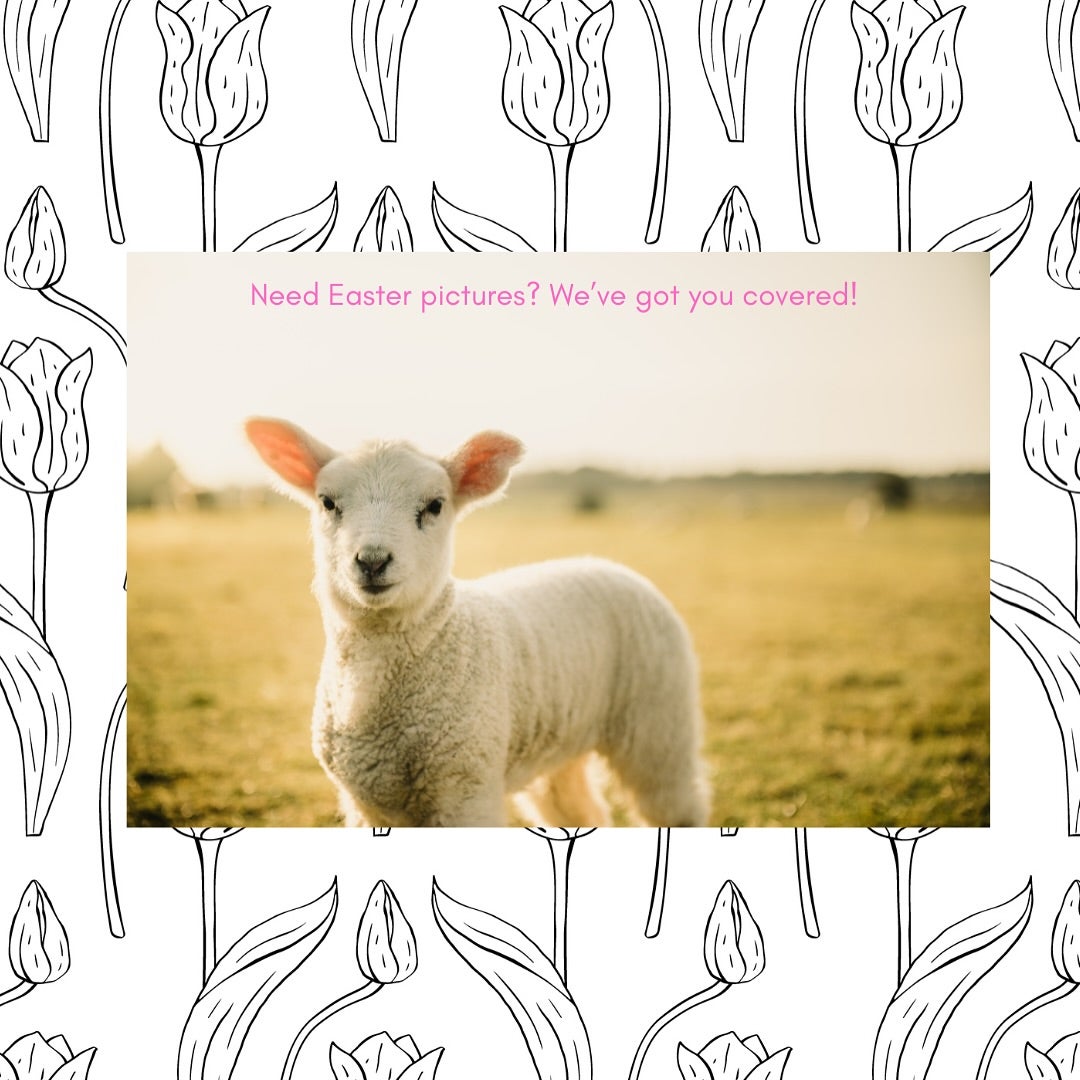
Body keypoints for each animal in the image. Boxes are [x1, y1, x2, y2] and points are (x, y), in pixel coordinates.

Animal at [244, 417, 711, 828]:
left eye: (435, 505)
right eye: (327, 502)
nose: (373, 561)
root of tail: (606, 563)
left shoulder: (465, 788)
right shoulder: (365, 804)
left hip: (660, 725)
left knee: (676, 806)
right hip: (560, 749)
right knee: (582, 812)